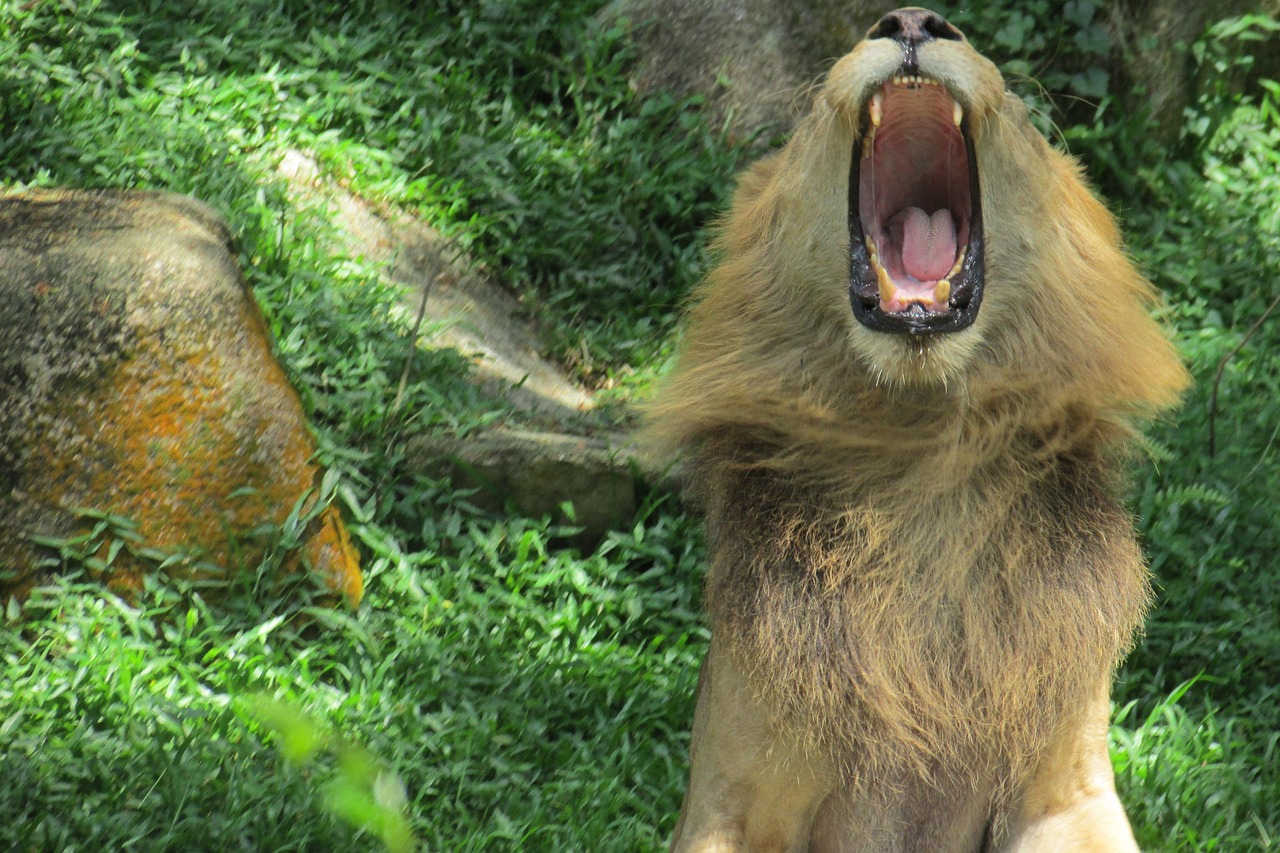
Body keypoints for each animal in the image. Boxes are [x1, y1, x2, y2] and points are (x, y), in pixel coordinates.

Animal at [643, 8, 1189, 852]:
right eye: (811, 115)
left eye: (1022, 118)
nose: (909, 20)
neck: (921, 449)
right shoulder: (731, 797)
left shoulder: (1065, 786)